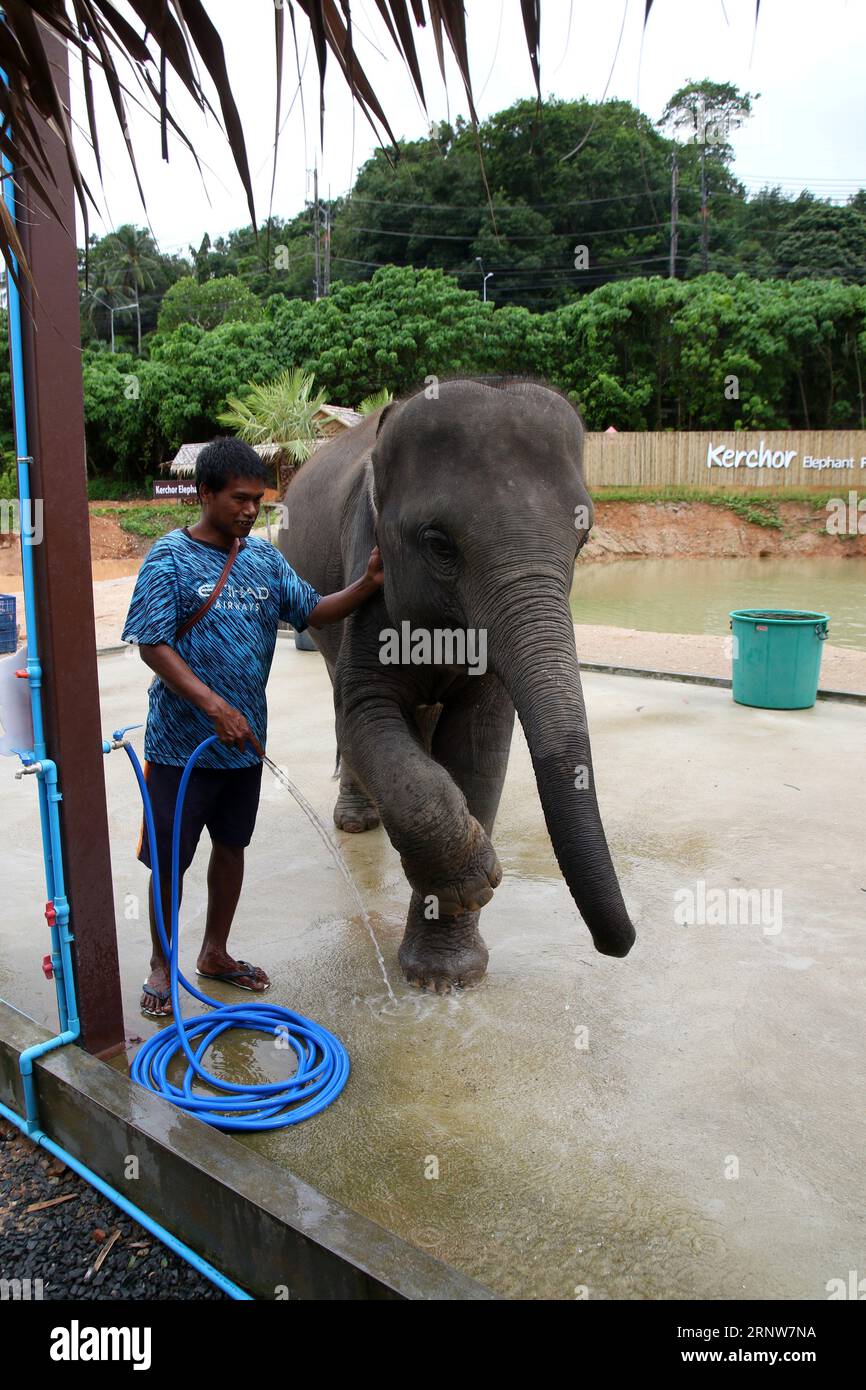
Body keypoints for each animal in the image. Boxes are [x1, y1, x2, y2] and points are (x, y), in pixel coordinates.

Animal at [279, 377, 636, 991]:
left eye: (583, 541)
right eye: (439, 543)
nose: (620, 945)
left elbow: (478, 746)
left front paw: (447, 977)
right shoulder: (367, 566)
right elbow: (365, 711)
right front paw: (474, 881)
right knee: (341, 704)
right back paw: (357, 824)